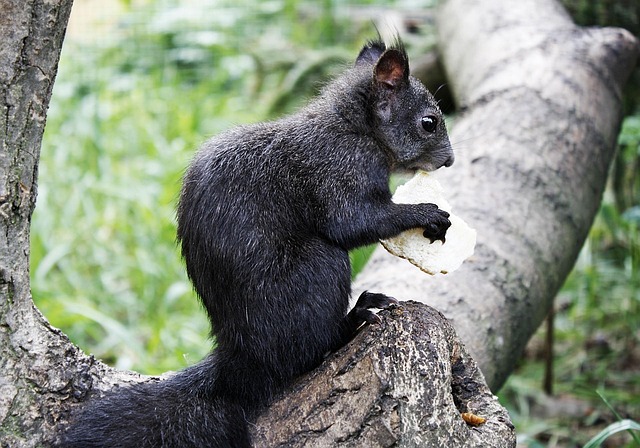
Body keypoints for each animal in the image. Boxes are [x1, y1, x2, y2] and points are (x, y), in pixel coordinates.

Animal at [58, 36, 454, 447]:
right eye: (428, 122)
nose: (450, 161)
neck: (354, 126)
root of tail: (240, 366)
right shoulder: (340, 168)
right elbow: (352, 223)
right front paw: (426, 213)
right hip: (319, 267)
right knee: (310, 349)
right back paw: (357, 315)